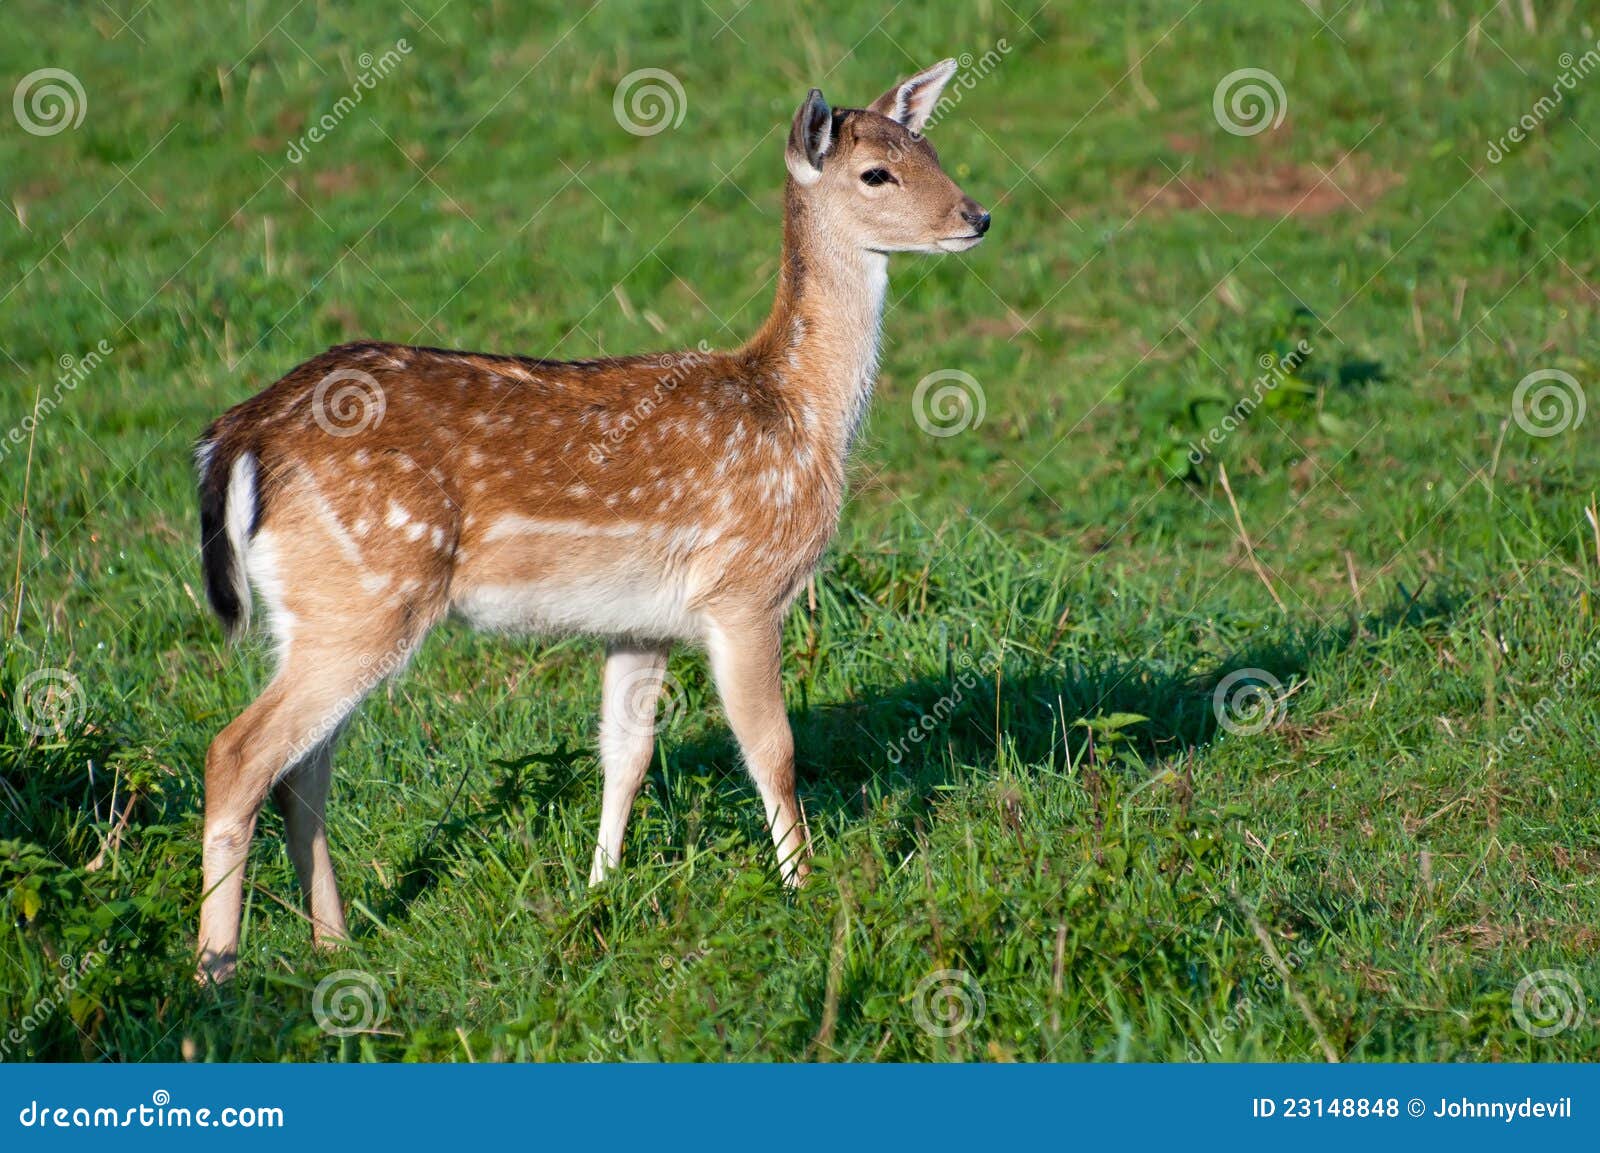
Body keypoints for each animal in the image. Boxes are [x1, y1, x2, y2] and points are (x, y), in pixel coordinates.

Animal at [193, 59, 989, 982]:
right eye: (877, 173)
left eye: (932, 149)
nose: (975, 217)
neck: (800, 417)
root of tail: (241, 433)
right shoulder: (744, 588)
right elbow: (775, 748)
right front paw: (805, 890)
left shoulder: (641, 622)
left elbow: (626, 753)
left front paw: (599, 889)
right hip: (368, 593)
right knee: (238, 754)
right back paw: (216, 969)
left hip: (323, 607)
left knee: (303, 769)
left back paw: (336, 939)